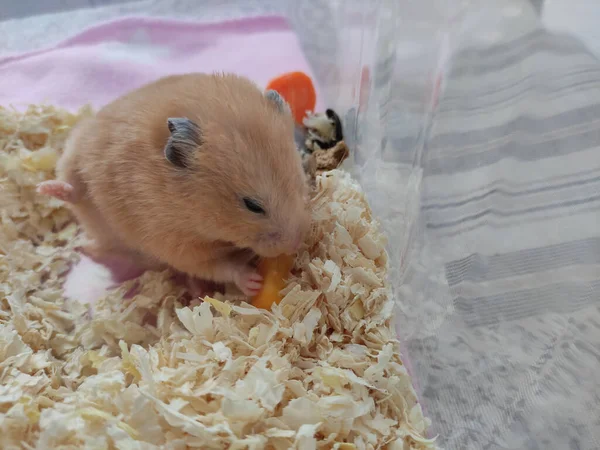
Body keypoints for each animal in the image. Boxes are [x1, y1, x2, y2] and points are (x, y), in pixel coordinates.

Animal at [38, 73, 310, 298]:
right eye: (252, 205)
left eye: (300, 181)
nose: (296, 243)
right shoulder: (176, 245)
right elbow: (219, 267)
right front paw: (253, 281)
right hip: (74, 150)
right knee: (73, 188)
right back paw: (49, 191)